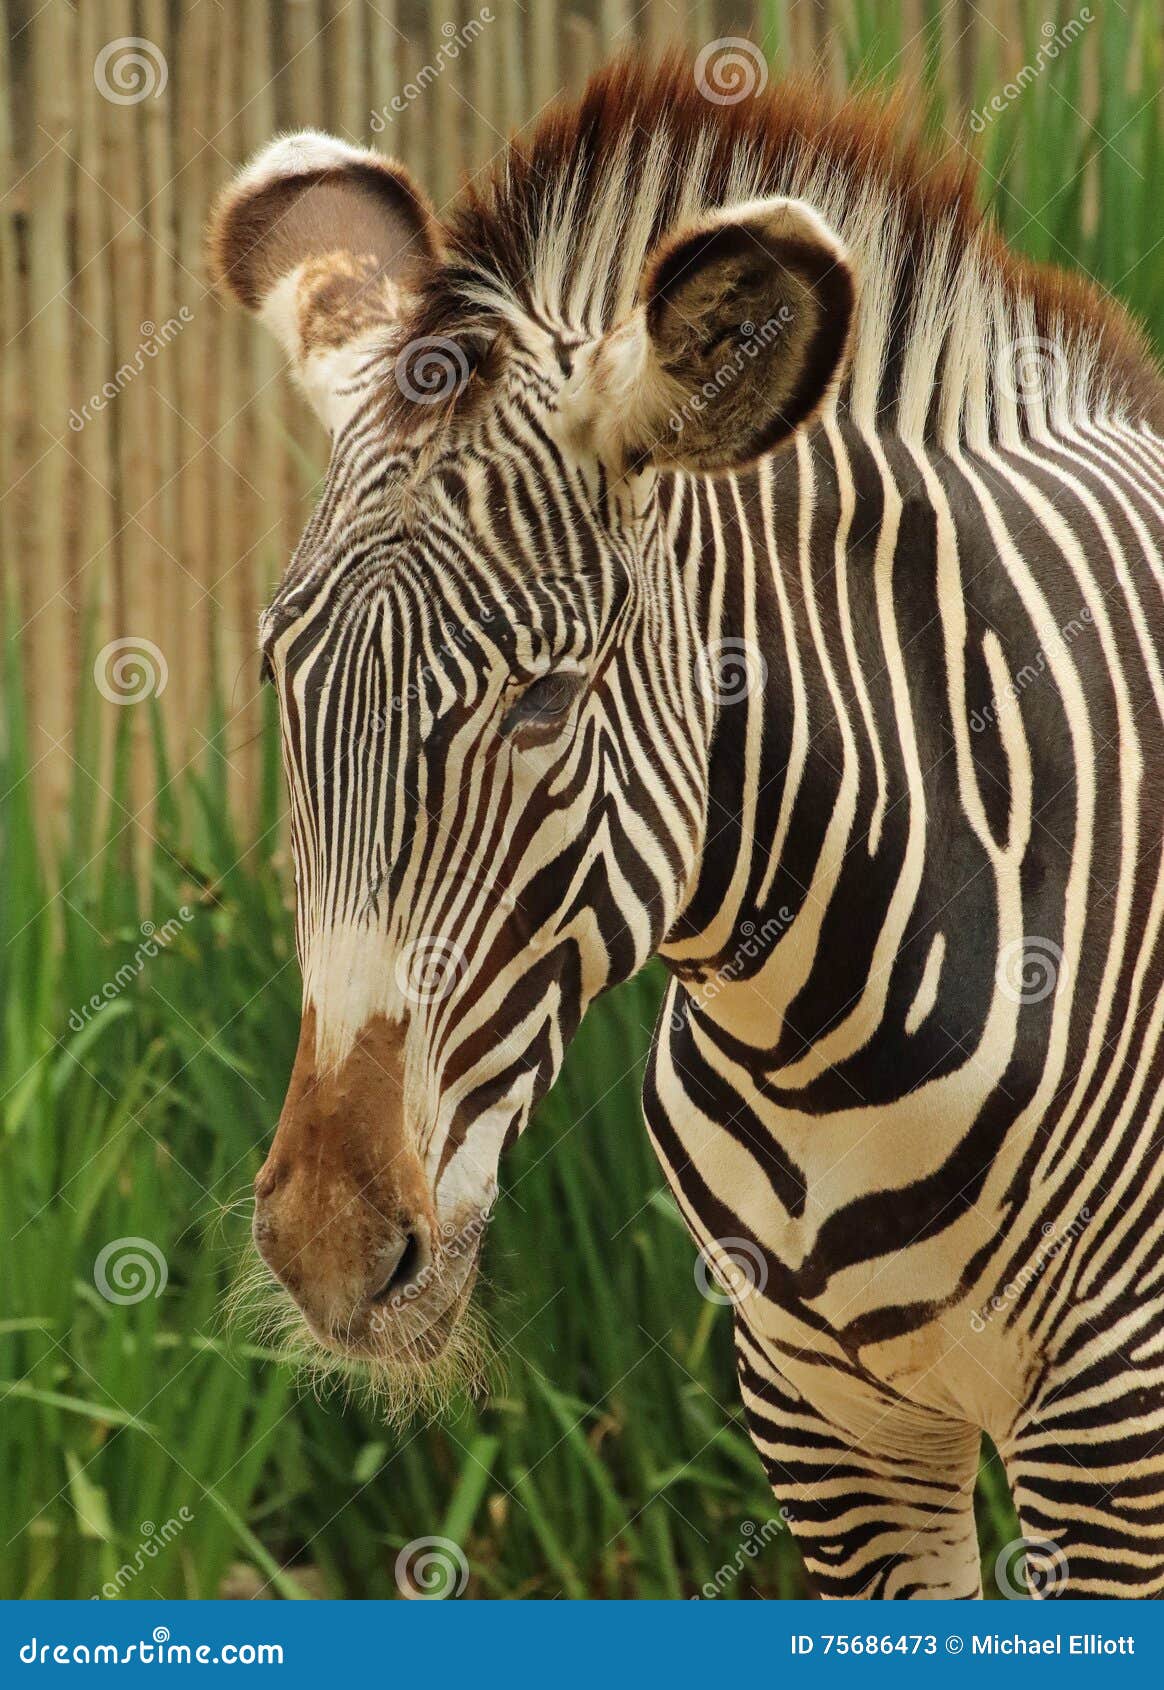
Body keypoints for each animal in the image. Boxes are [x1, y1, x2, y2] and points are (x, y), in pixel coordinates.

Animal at [208, 54, 1164, 1598]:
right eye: (280, 681)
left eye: (542, 702)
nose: (330, 1249)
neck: (826, 1045)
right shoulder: (827, 1424)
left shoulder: (1110, 1422)